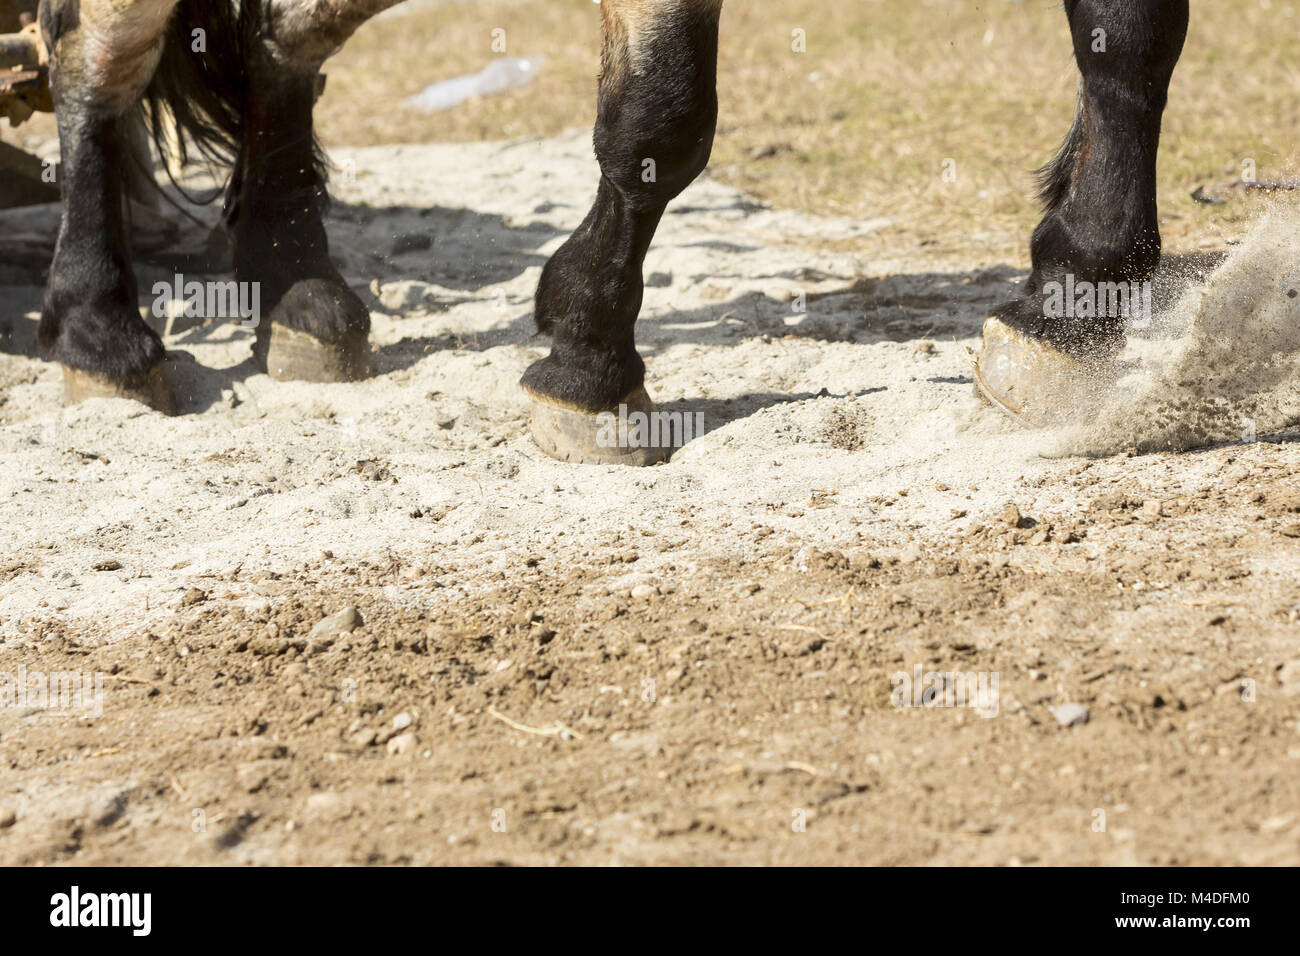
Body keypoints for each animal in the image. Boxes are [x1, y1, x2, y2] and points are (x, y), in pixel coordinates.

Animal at [20, 0, 1188, 460]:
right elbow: (659, 113)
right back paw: (99, 327)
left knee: (279, 34)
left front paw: (1072, 301)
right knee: (99, 53)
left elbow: (1131, 34)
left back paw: (298, 288)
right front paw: (588, 361)